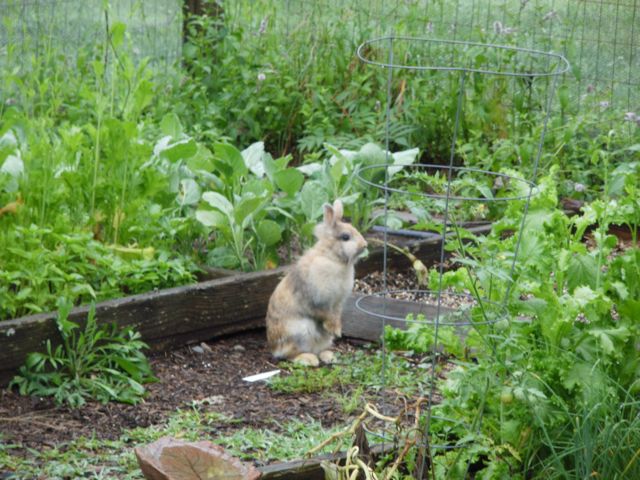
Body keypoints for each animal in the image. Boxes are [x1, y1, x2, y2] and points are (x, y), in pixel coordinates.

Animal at [266, 199, 368, 367]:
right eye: (345, 237)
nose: (364, 245)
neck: (332, 258)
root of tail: (274, 348)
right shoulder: (320, 301)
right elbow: (326, 315)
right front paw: (335, 330)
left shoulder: (337, 304)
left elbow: (336, 315)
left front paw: (337, 331)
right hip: (299, 333)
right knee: (289, 356)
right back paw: (309, 360)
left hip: (321, 340)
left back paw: (328, 356)